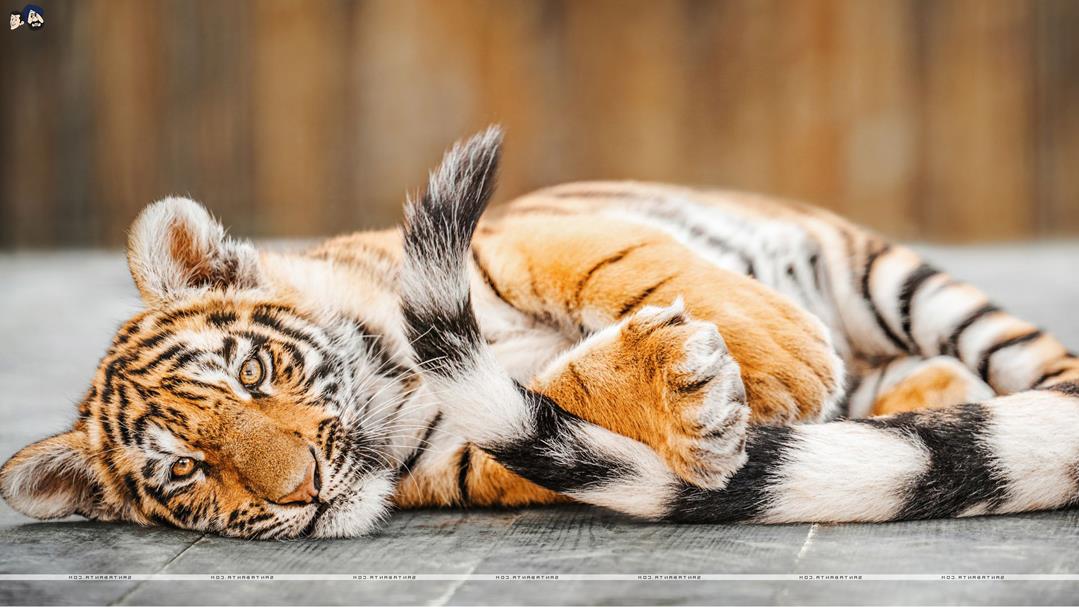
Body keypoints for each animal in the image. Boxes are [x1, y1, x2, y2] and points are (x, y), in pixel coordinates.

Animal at [2, 127, 1079, 539]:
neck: (393, 387)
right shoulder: (469, 451)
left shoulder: (516, 240)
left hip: (894, 274)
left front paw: (779, 357)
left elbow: (618, 263)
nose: (301, 488)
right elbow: (555, 400)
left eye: (255, 371)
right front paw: (689, 395)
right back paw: (924, 390)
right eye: (187, 469)